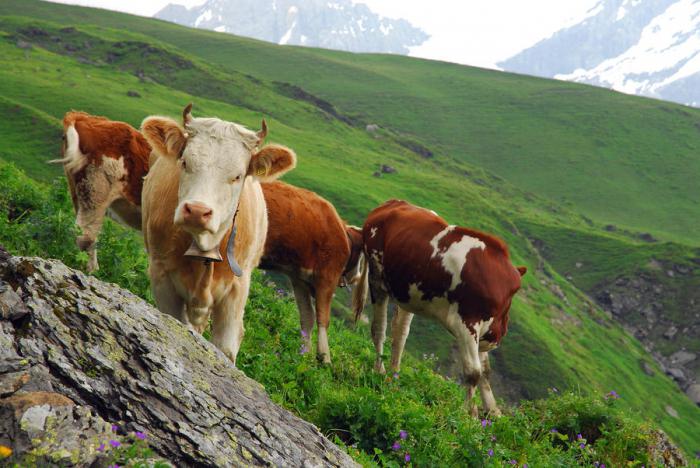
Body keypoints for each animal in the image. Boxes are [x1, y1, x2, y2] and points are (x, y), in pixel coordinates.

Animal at [141, 105, 296, 362]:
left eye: (237, 176)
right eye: (184, 162)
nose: (197, 211)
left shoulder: (237, 288)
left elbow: (225, 348)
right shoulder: (161, 274)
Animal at [258, 181, 366, 364]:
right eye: (362, 254)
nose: (356, 277)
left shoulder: (299, 279)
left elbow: (307, 316)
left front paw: (305, 354)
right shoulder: (327, 277)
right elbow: (323, 318)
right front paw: (324, 358)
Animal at [352, 200, 528, 416]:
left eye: (513, 293)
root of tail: (392, 203)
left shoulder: (485, 329)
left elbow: (486, 373)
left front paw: (493, 413)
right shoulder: (467, 324)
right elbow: (473, 372)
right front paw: (468, 414)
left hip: (409, 292)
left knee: (399, 333)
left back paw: (393, 375)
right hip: (377, 279)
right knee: (378, 329)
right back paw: (380, 370)